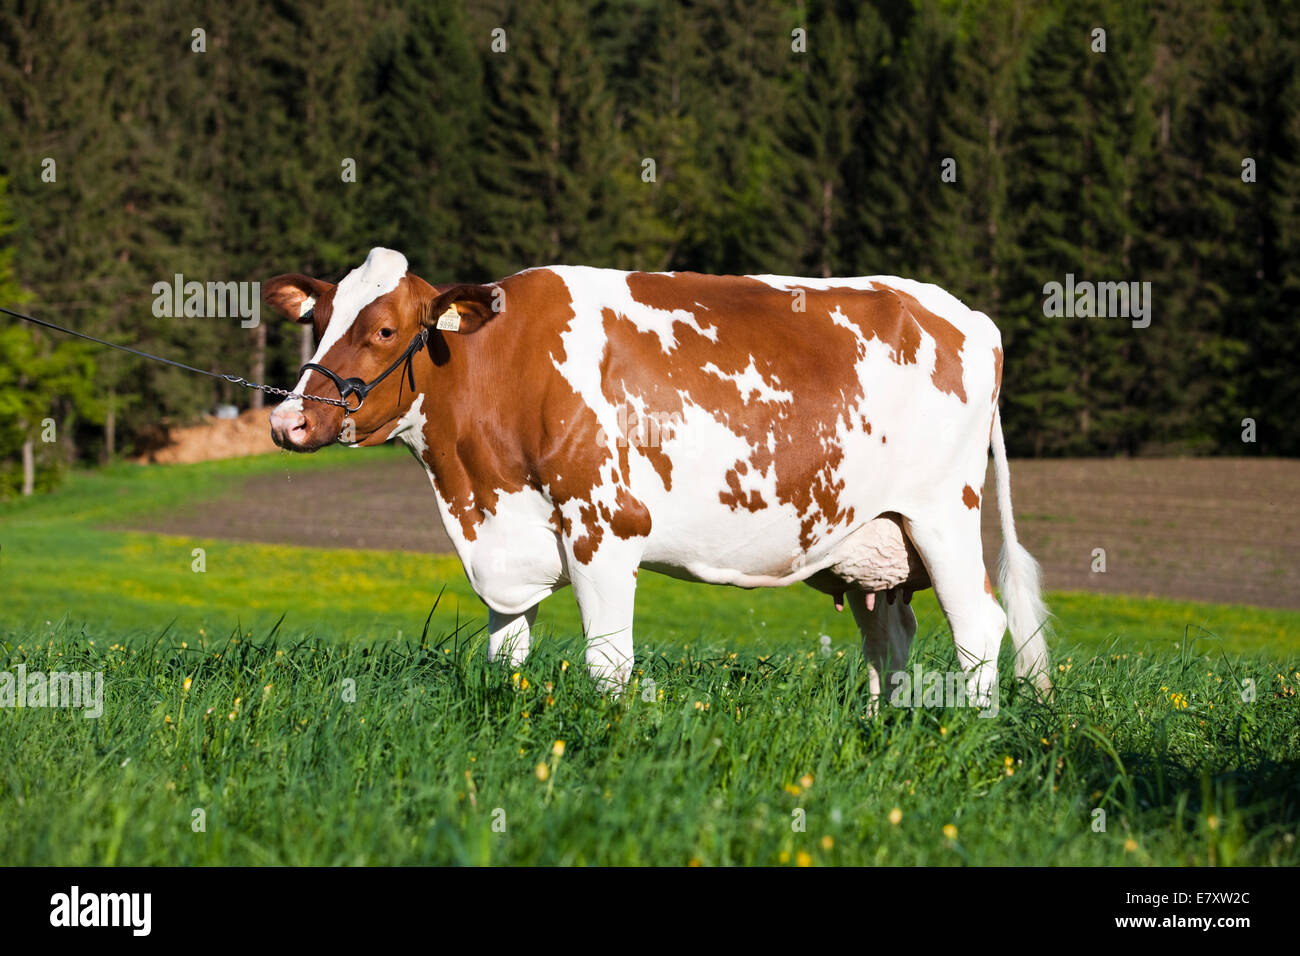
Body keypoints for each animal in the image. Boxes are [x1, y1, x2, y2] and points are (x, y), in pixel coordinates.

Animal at [265, 247, 1051, 705]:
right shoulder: (505, 540)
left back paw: (965, 730)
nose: (287, 422)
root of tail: (967, 316)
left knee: (979, 626)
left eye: (385, 330)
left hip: (942, 515)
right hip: (875, 540)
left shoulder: (605, 527)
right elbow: (505, 655)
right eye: (320, 319)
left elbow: (609, 663)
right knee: (890, 637)